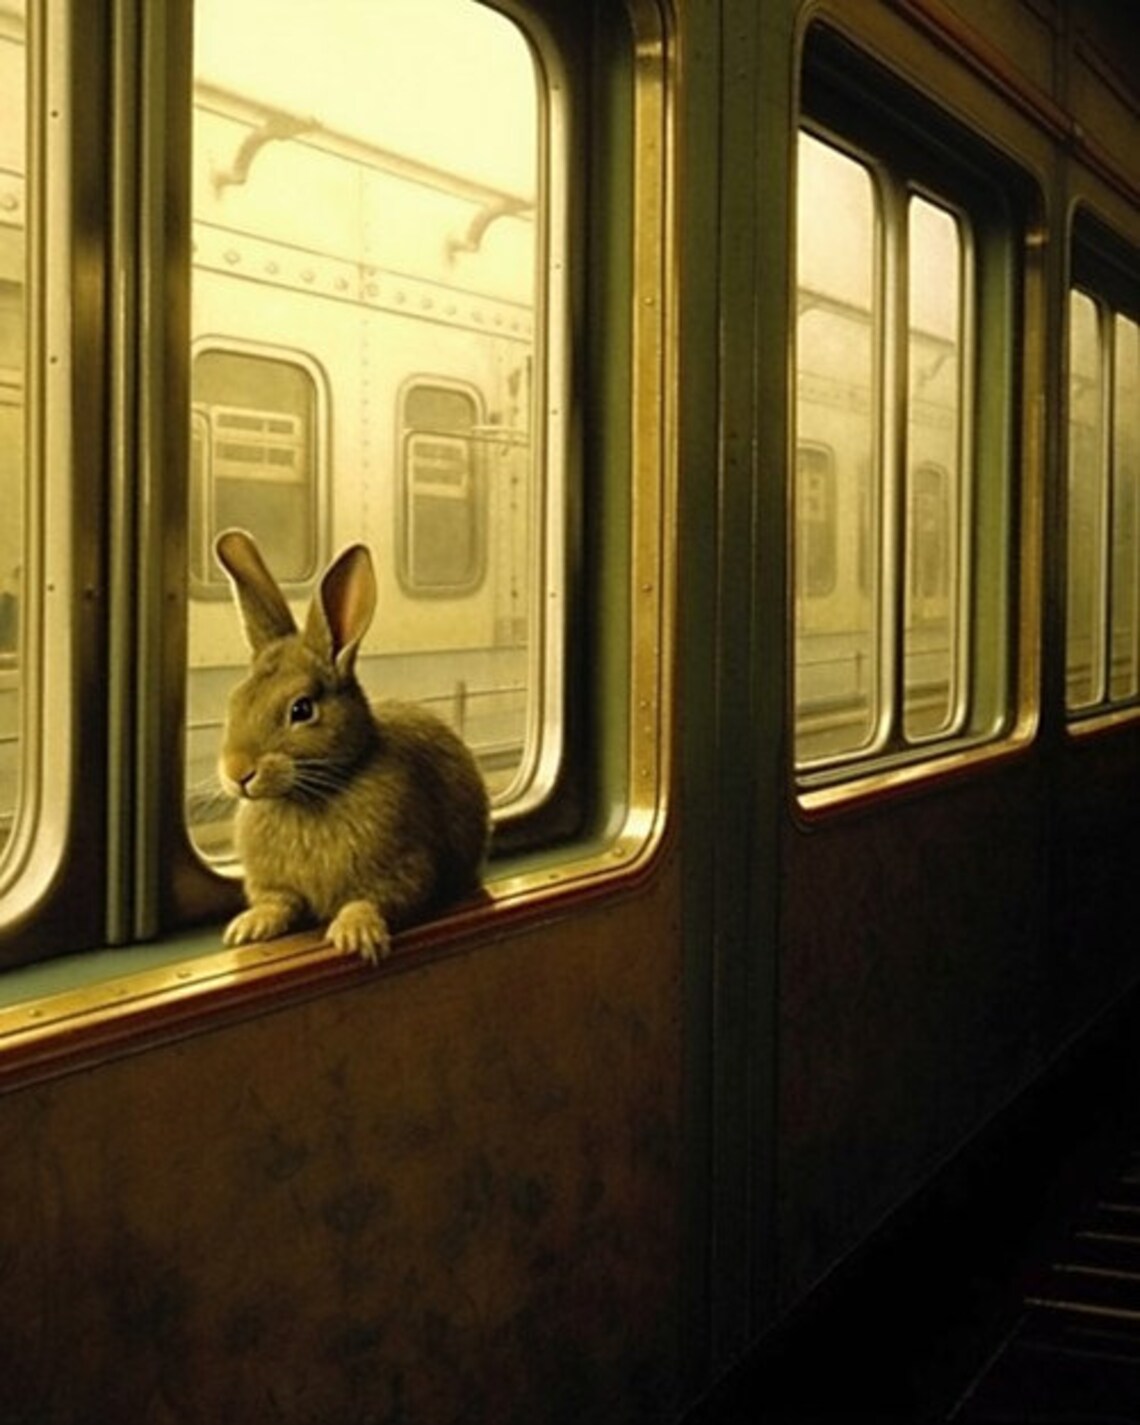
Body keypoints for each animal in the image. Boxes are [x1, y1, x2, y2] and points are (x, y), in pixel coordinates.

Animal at [214, 527, 491, 963]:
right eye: (236, 700)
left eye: (302, 709)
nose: (237, 772)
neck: (313, 793)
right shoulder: (275, 885)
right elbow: (277, 902)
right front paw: (248, 927)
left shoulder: (404, 869)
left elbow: (370, 901)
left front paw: (355, 935)